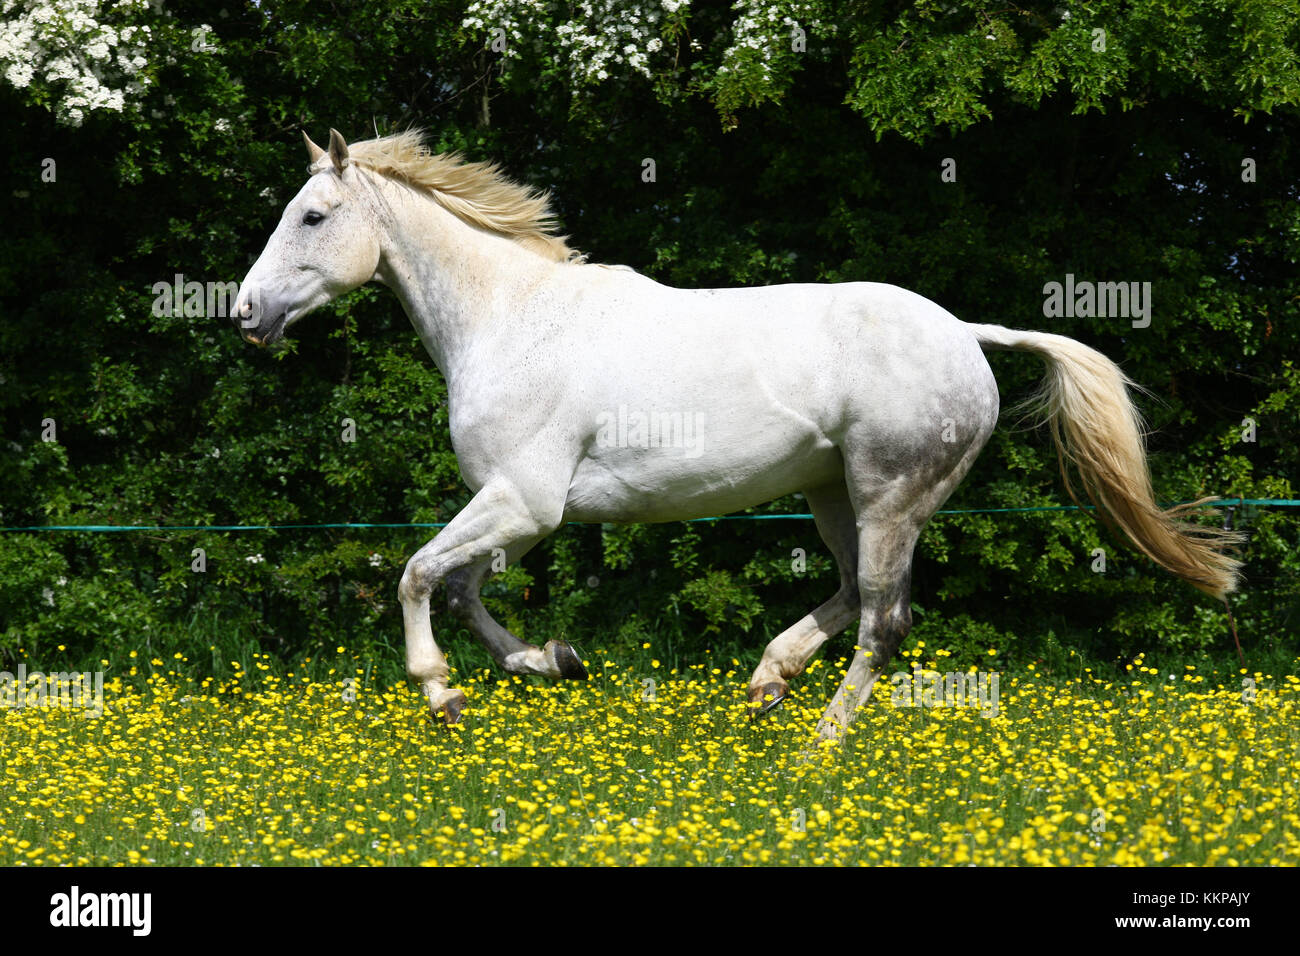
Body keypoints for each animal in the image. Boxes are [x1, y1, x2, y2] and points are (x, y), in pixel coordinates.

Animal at [232, 128, 1241, 739]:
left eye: (313, 216)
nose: (244, 313)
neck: (510, 320)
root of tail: (966, 333)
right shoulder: (516, 508)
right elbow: (461, 587)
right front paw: (550, 661)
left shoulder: (526, 502)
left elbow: (416, 574)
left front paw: (442, 691)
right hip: (832, 496)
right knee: (850, 597)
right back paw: (767, 682)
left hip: (891, 498)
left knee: (884, 620)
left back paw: (820, 747)